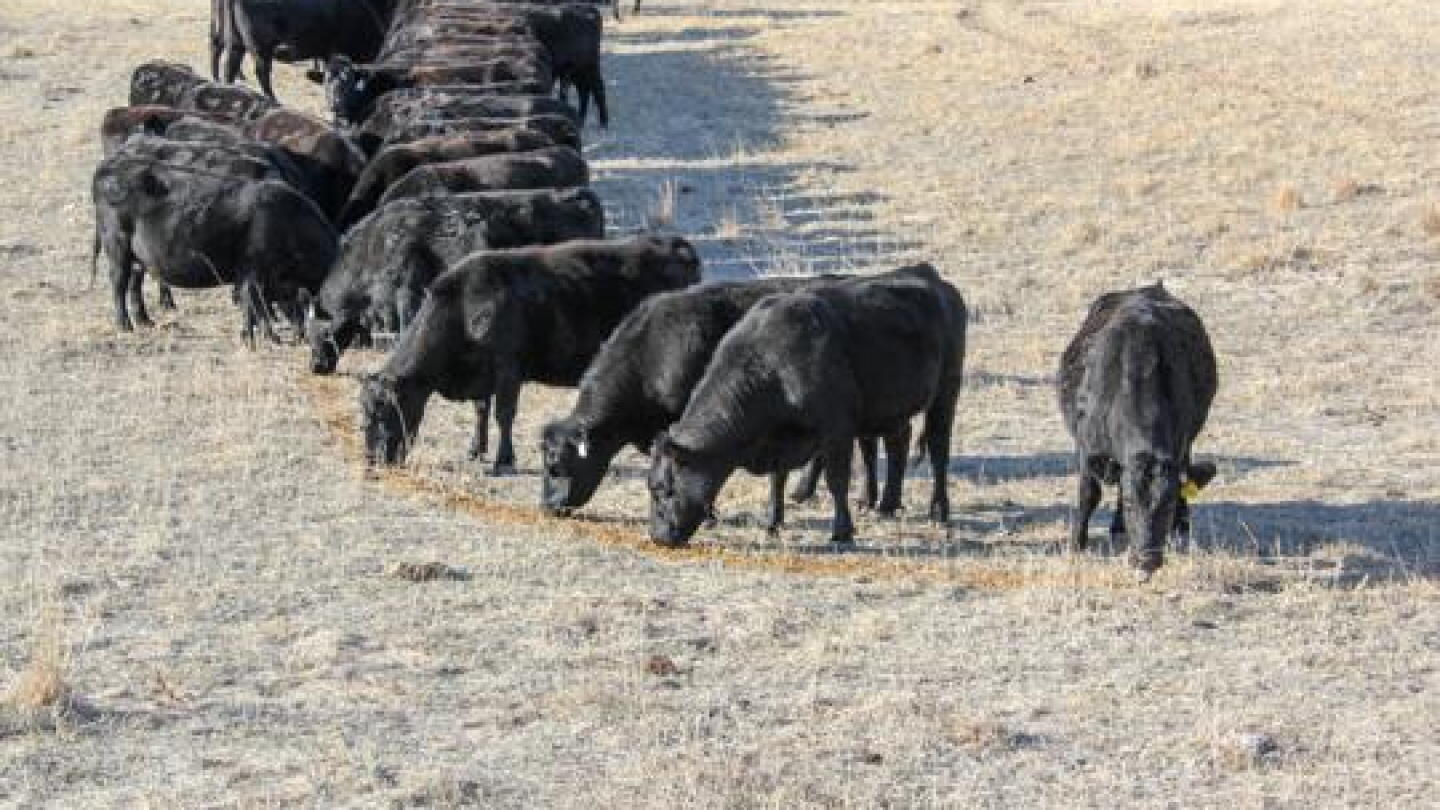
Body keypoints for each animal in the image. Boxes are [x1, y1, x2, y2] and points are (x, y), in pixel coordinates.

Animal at [92, 154, 336, 342]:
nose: (302, 337)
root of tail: (109, 166)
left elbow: (253, 305)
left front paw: (249, 335)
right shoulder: (254, 271)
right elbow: (256, 304)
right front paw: (269, 337)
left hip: (137, 258)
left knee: (134, 283)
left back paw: (145, 321)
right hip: (117, 246)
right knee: (118, 283)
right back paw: (125, 325)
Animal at [308, 187, 607, 374]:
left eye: (315, 334)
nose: (315, 366)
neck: (375, 245)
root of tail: (579, 195)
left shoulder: (405, 292)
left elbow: (405, 327)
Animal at [360, 236, 701, 473]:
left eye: (381, 411)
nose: (372, 460)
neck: (463, 308)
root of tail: (674, 244)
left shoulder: (509, 367)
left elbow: (503, 414)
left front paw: (503, 460)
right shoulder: (482, 374)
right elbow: (481, 410)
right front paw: (475, 451)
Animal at [647, 264, 967, 547]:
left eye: (663, 489)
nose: (657, 536)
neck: (772, 363)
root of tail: (928, 274)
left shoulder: (836, 427)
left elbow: (836, 479)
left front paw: (842, 531)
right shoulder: (778, 438)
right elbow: (777, 479)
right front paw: (772, 522)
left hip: (946, 391)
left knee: (938, 449)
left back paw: (939, 511)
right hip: (888, 408)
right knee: (897, 440)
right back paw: (886, 504)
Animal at [1058, 283, 1218, 579]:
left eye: (1167, 504)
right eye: (1132, 502)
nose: (1148, 560)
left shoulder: (1180, 441)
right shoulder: (1086, 446)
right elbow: (1089, 494)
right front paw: (1077, 545)